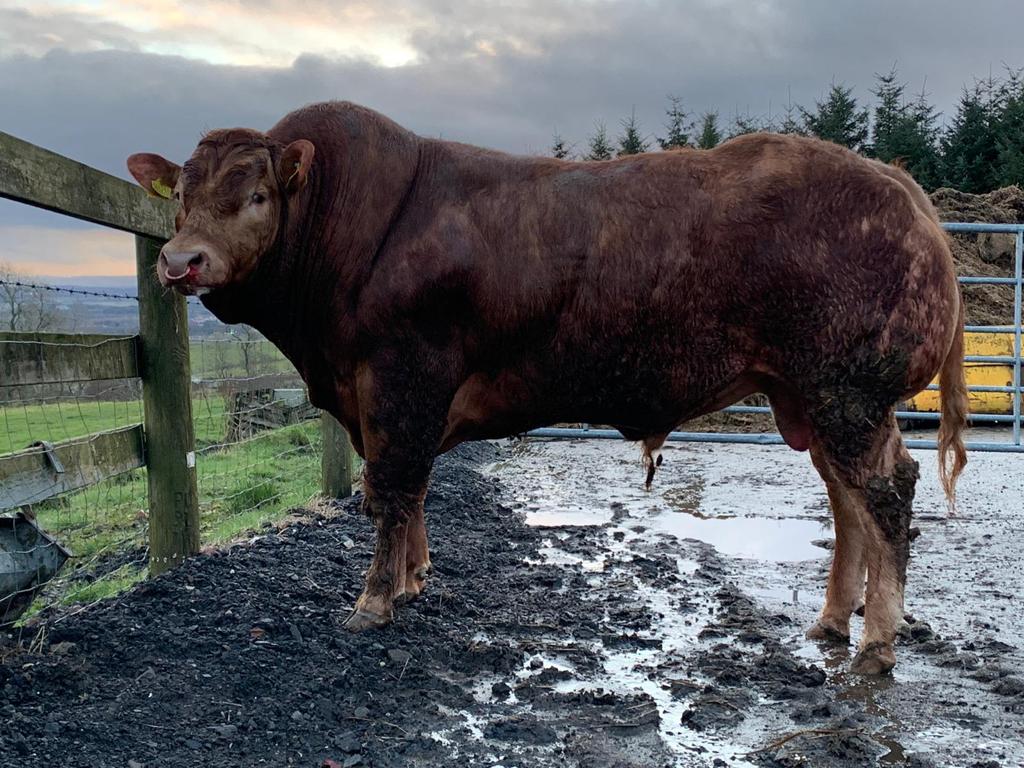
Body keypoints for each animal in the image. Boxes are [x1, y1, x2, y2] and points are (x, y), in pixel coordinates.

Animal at [127, 101, 967, 675]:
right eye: (181, 196)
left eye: (257, 196)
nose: (180, 261)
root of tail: (895, 180)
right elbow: (409, 492)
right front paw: (413, 581)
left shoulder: (400, 379)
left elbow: (390, 490)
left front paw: (372, 601)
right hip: (815, 398)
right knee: (847, 501)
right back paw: (831, 621)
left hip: (849, 392)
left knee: (885, 495)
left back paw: (878, 642)